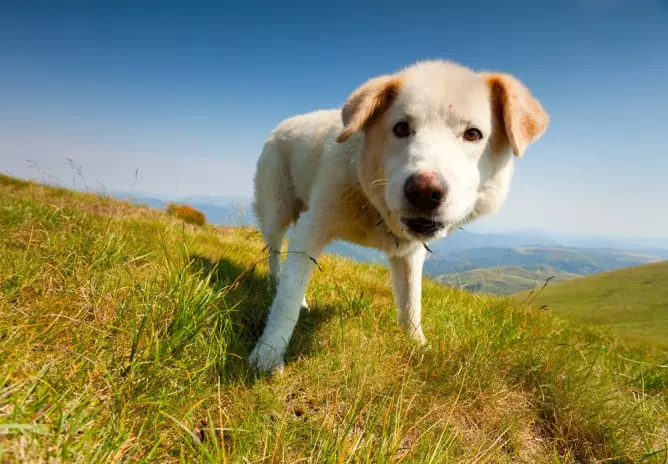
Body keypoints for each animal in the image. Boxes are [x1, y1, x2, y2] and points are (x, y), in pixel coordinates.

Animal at [249, 59, 548, 372]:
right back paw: (276, 285)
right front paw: (268, 354)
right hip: (276, 209)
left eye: (473, 134)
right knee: (275, 252)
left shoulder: (410, 255)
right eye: (401, 128)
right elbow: (287, 300)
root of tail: (283, 124)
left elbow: (411, 304)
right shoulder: (311, 229)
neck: (374, 205)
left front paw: (419, 346)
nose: (425, 192)